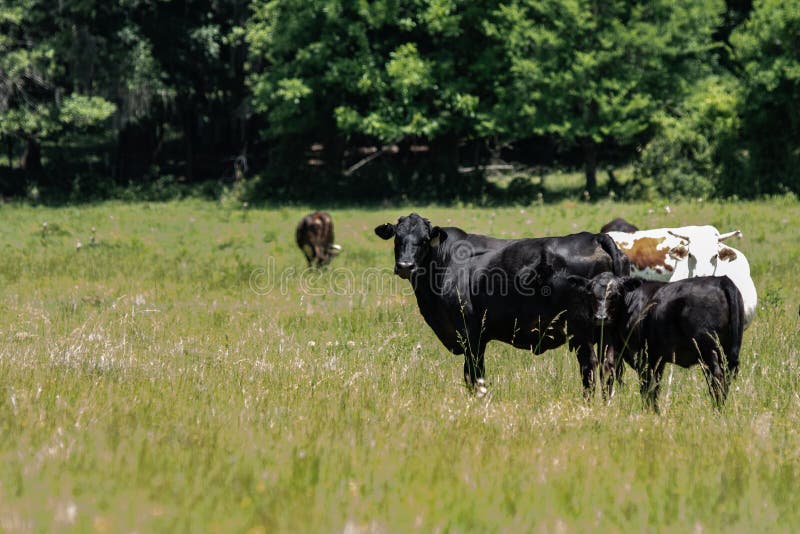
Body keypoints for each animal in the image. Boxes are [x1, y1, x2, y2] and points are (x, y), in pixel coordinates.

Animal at [374, 213, 630, 397]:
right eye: (398, 237)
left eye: (424, 240)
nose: (405, 265)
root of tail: (594, 236)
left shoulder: (471, 335)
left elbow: (474, 375)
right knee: (609, 366)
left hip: (580, 330)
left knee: (589, 366)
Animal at [562, 272, 744, 411]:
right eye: (591, 294)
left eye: (615, 295)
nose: (601, 317)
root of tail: (721, 279)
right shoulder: (657, 357)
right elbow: (653, 386)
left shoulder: (643, 355)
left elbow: (646, 386)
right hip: (726, 352)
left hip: (708, 349)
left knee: (717, 377)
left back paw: (717, 409)